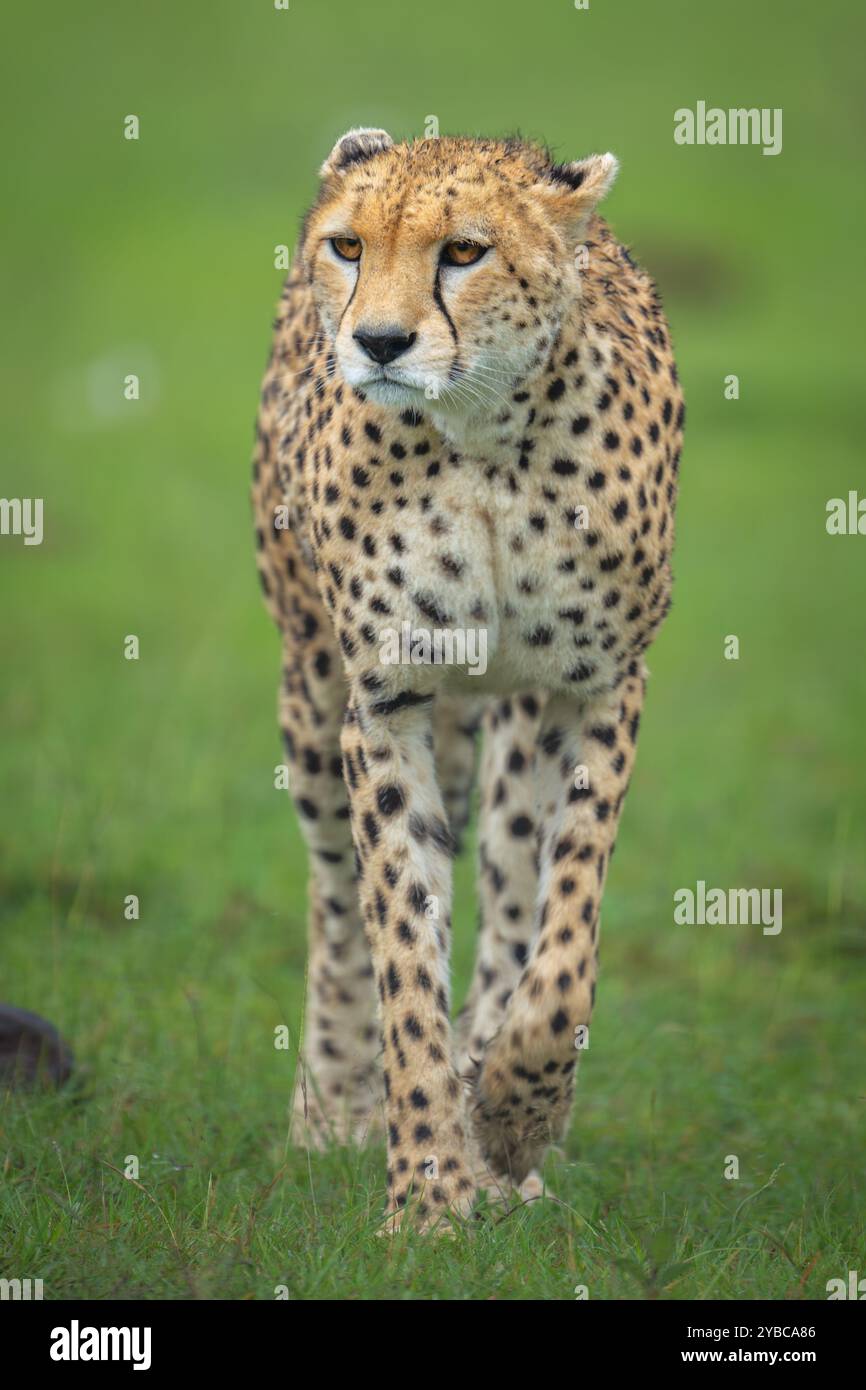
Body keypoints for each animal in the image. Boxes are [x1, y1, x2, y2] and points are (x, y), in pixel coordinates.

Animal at [251, 128, 684, 1229]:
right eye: (349, 246)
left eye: (463, 251)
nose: (378, 344)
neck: (484, 434)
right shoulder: (383, 701)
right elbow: (400, 940)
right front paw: (427, 1194)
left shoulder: (598, 686)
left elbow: (564, 939)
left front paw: (512, 1114)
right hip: (309, 690)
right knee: (333, 894)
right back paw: (334, 1101)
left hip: (516, 718)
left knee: (510, 889)